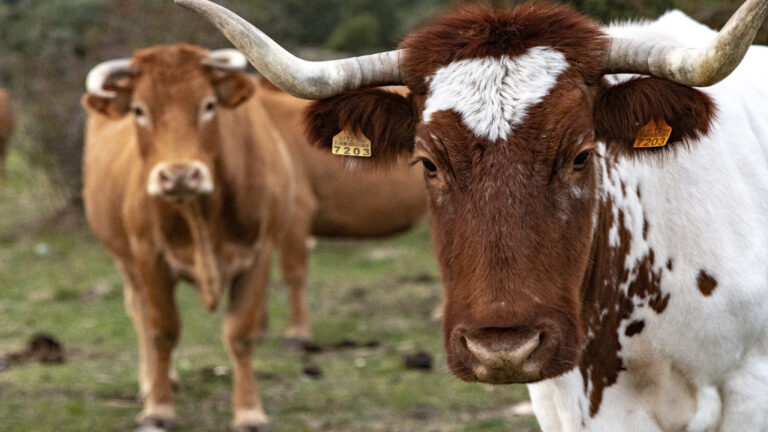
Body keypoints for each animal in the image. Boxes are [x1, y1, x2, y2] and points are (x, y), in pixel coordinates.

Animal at [82, 44, 426, 431]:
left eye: (208, 105)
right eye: (139, 110)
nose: (180, 175)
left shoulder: (268, 243)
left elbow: (245, 328)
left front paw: (250, 409)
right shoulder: (149, 256)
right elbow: (162, 331)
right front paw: (159, 408)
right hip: (126, 259)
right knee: (140, 312)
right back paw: (153, 381)